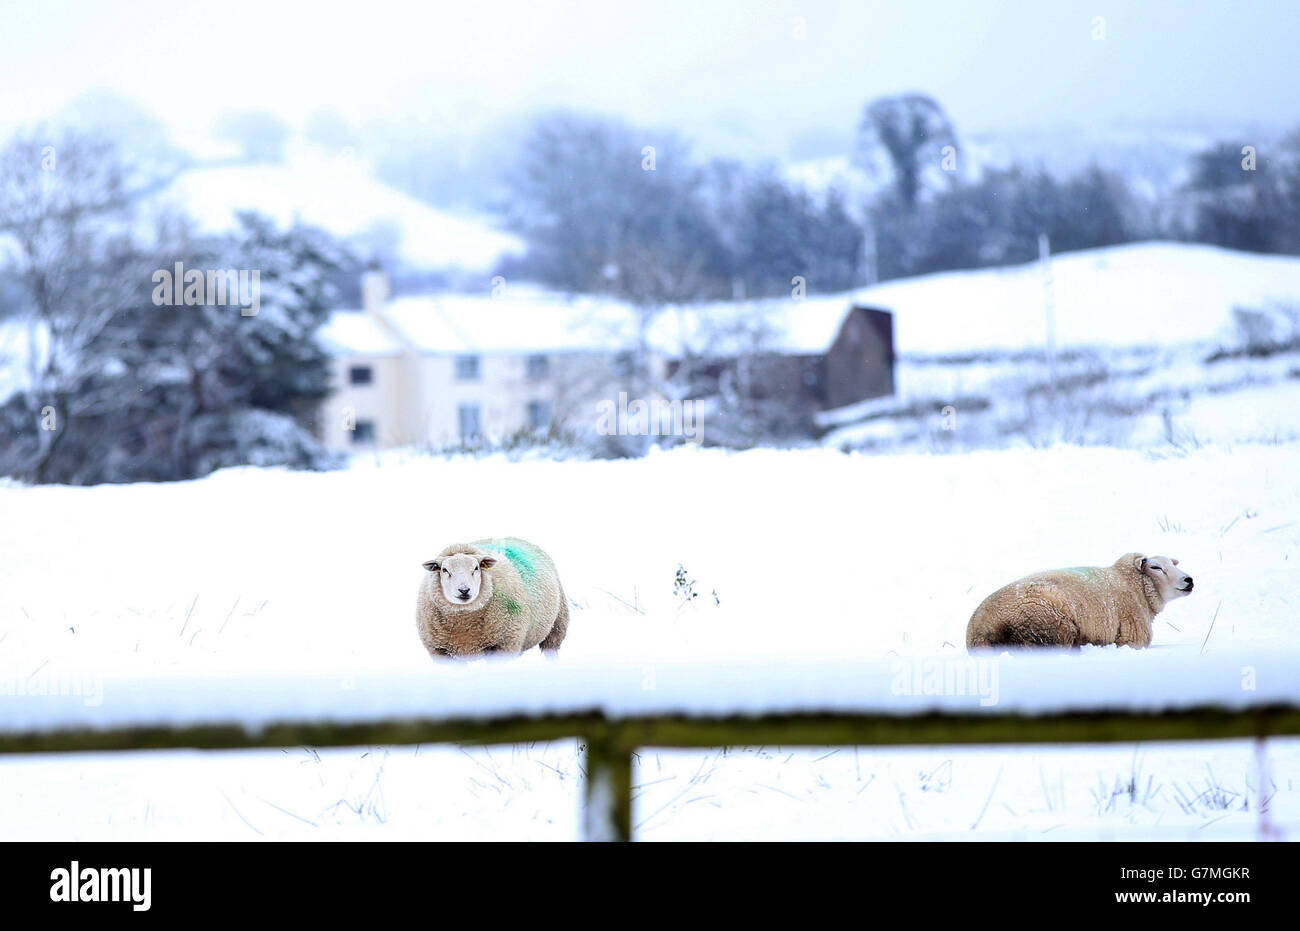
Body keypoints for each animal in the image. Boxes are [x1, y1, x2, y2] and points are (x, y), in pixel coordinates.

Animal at [416, 537, 569, 659]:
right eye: (444, 570)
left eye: (476, 568)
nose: (464, 590)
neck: (464, 627)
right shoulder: (440, 651)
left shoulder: (504, 645)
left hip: (556, 627)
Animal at [966, 553, 1194, 650]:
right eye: (1155, 567)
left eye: (1173, 563)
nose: (1188, 580)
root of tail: (981, 630)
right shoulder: (1131, 638)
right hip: (1051, 627)